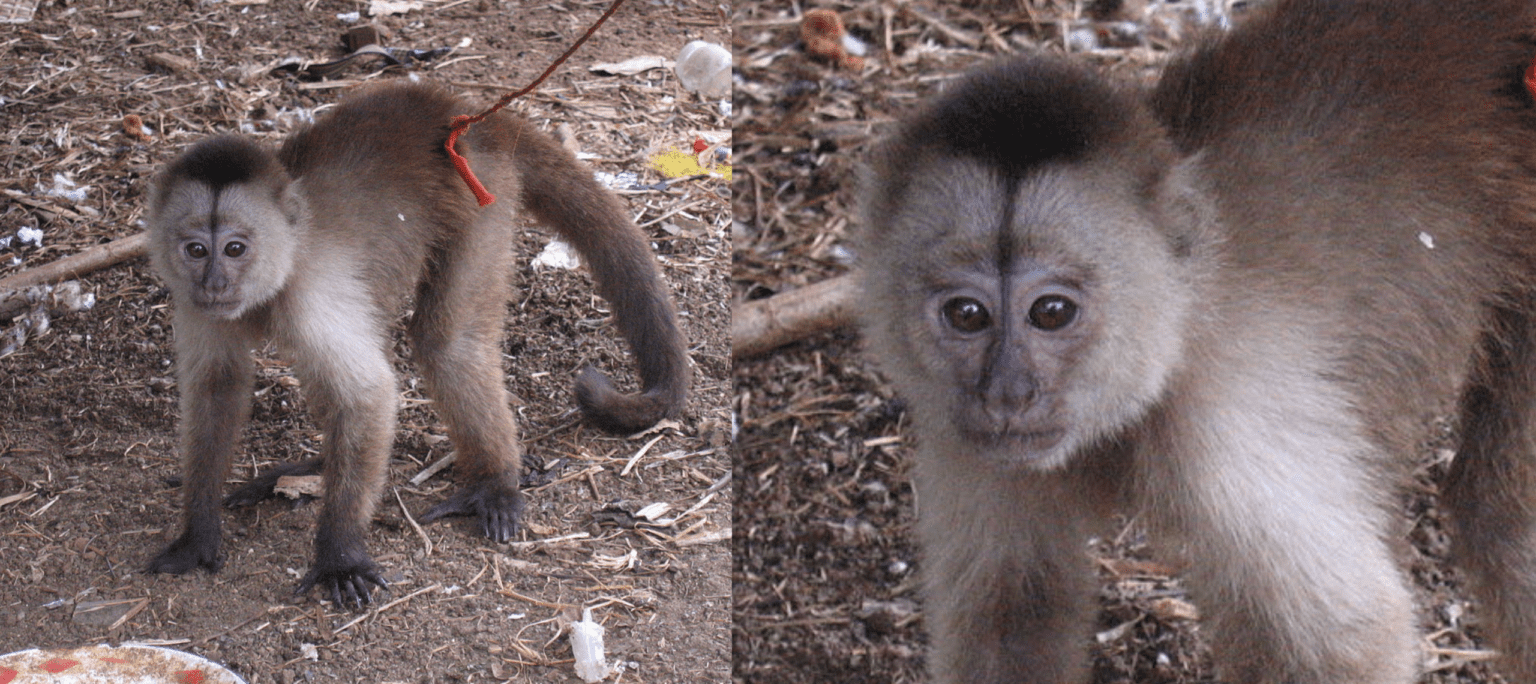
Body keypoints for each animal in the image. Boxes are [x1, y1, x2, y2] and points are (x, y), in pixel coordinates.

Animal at [142, 80, 689, 608]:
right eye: (196, 250)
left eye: (236, 248)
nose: (215, 282)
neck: (276, 273)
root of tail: (461, 112)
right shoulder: (194, 302)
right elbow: (217, 389)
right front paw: (199, 532)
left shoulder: (310, 294)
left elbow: (369, 396)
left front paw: (340, 554)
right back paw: (311, 469)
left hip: (483, 194)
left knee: (446, 343)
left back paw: (496, 483)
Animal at [855, 0, 1536, 681]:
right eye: (967, 315)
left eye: (1051, 312)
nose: (1007, 394)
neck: (1179, 326)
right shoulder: (969, 436)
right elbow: (1011, 618)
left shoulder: (1221, 428)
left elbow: (1348, 641)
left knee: (1501, 521)